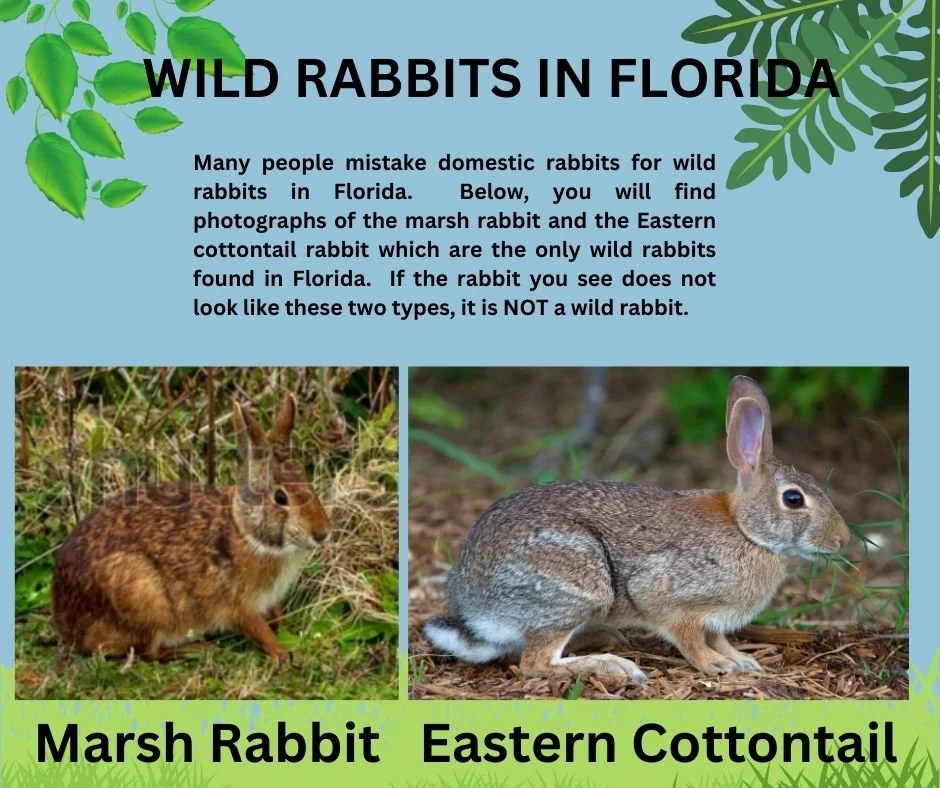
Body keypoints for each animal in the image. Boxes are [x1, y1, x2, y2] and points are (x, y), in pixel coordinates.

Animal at [52, 393, 331, 663]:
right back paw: (199, 649)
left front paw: (289, 632)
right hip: (142, 597)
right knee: (148, 651)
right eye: (281, 498)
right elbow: (257, 629)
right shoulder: (239, 604)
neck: (246, 532)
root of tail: (68, 626)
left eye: (309, 484)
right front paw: (282, 653)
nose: (322, 533)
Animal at [423, 376, 851, 682]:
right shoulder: (673, 600)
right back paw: (613, 666)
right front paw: (717, 666)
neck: (746, 530)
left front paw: (743, 662)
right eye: (793, 499)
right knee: (534, 663)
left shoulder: (715, 619)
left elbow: (719, 638)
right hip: (580, 584)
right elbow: (690, 640)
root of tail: (472, 606)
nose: (843, 540)